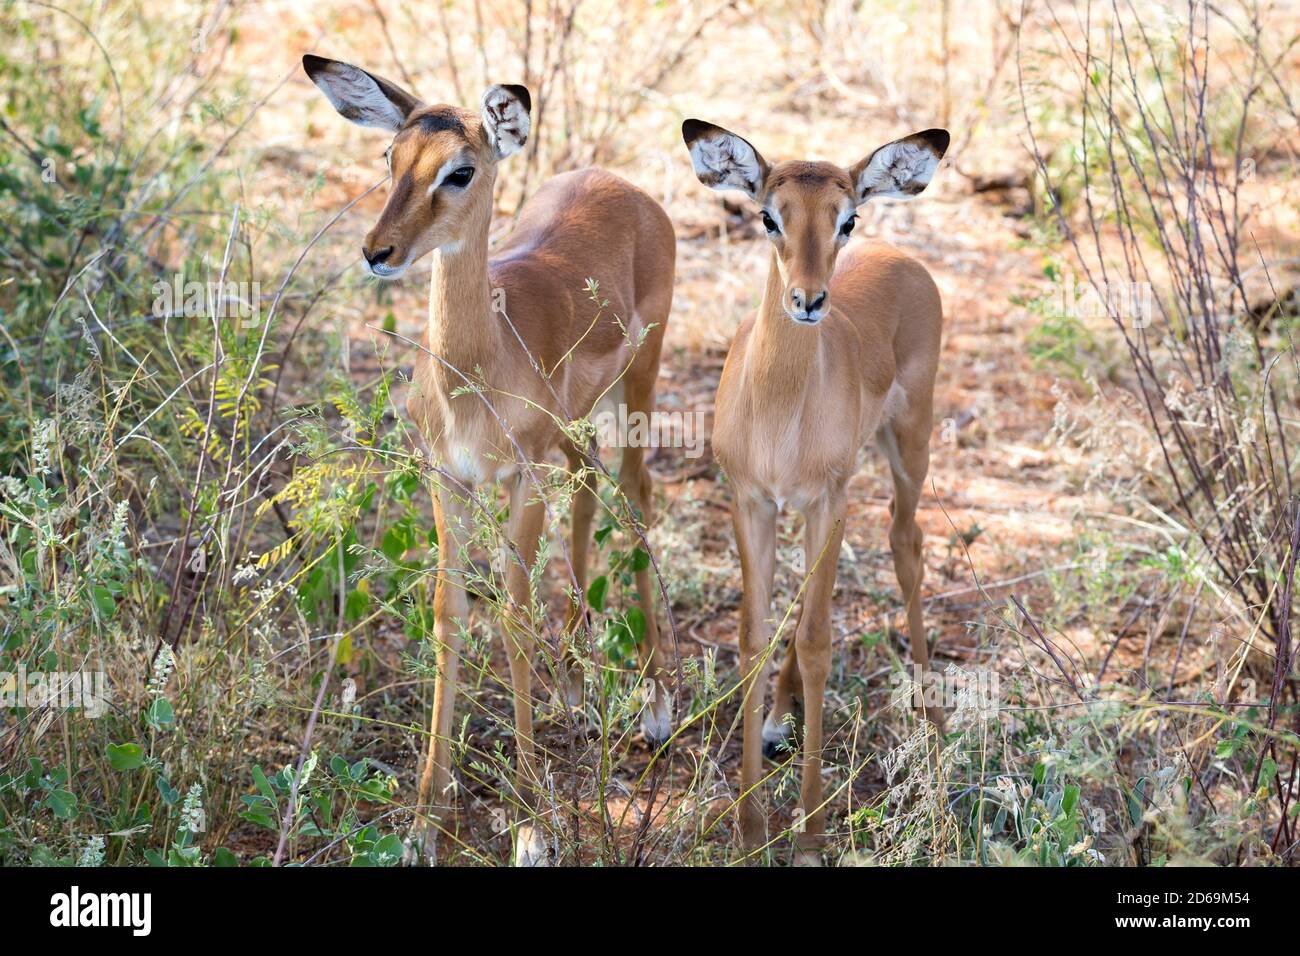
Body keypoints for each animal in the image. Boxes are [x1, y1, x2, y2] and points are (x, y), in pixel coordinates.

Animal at [302, 55, 677, 866]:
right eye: (391, 157)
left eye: (461, 170)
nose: (378, 251)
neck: (476, 371)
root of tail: (620, 184)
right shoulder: (449, 480)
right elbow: (451, 612)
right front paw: (422, 822)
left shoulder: (521, 480)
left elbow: (513, 615)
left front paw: (534, 824)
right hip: (576, 426)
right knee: (590, 484)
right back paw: (576, 686)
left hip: (639, 383)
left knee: (636, 493)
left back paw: (657, 705)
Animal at [681, 119, 949, 862]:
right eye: (769, 216)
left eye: (846, 217)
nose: (807, 301)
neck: (778, 411)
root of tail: (901, 257)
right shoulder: (754, 501)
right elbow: (755, 635)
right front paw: (749, 829)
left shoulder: (825, 500)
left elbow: (818, 642)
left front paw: (808, 834)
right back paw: (778, 721)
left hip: (907, 447)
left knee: (906, 545)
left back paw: (931, 714)